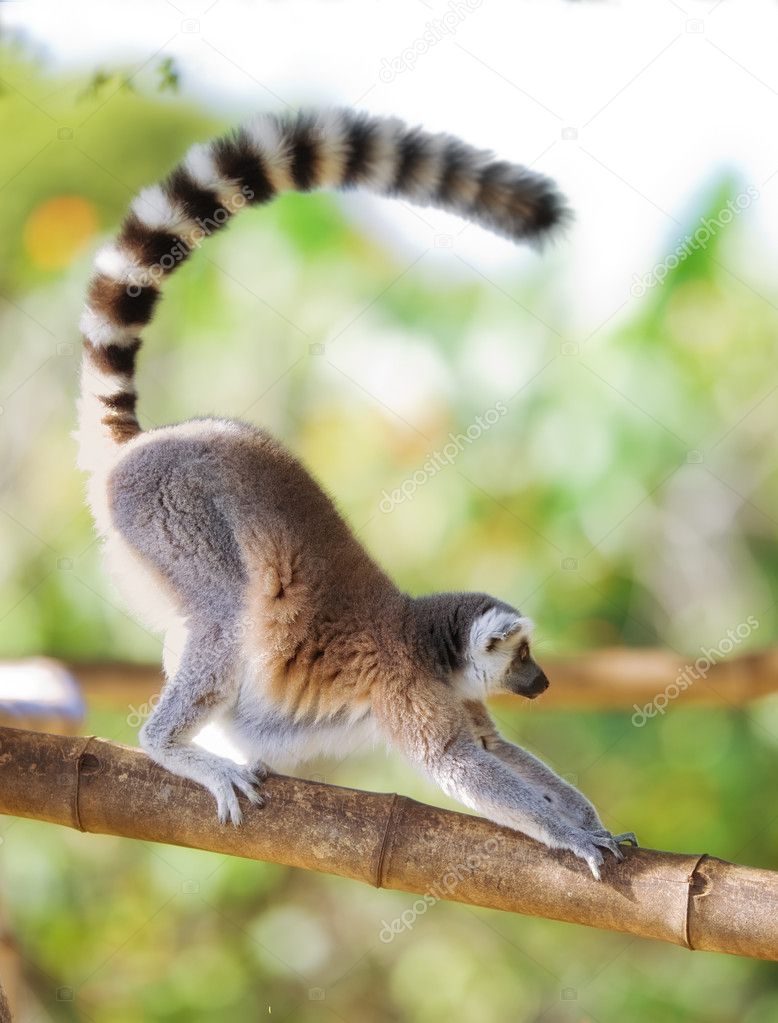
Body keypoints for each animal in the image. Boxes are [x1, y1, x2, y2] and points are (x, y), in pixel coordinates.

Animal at [76, 108, 637, 880]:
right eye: (521, 654)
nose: (544, 682)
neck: (431, 649)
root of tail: (141, 448)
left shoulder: (457, 698)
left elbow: (496, 749)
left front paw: (590, 821)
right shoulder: (411, 692)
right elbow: (461, 765)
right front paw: (571, 837)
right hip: (167, 513)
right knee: (222, 614)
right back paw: (173, 746)